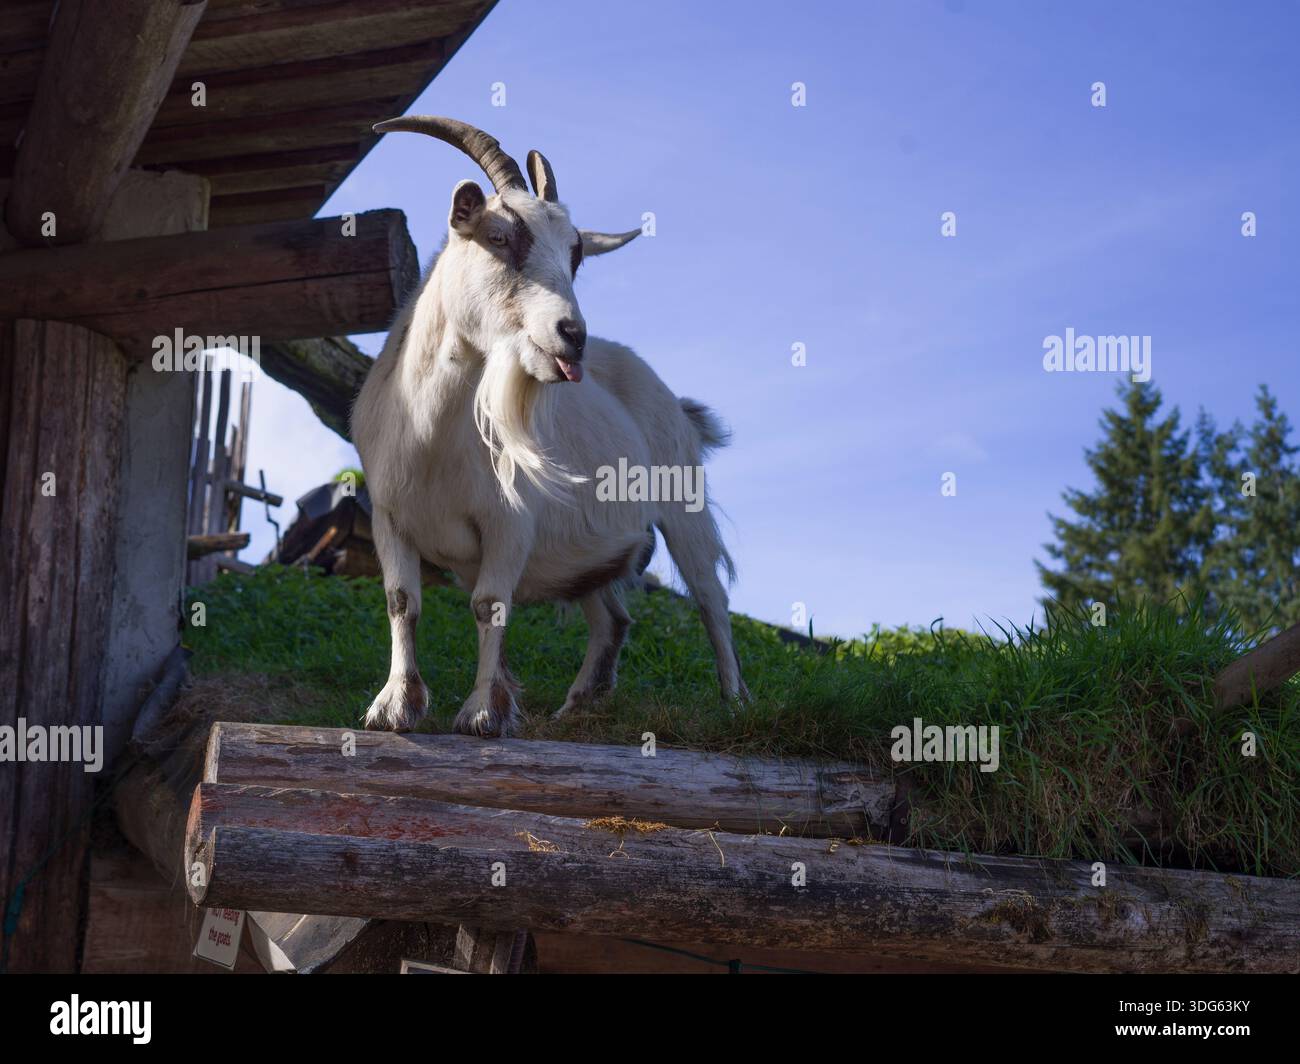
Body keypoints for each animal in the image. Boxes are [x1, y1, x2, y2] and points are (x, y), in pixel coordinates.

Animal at [352, 116, 747, 737]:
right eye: (499, 237)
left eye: (576, 255)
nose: (572, 335)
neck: (432, 442)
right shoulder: (389, 516)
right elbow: (401, 601)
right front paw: (395, 706)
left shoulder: (510, 522)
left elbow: (488, 604)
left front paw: (483, 712)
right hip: (590, 553)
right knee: (611, 615)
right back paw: (579, 703)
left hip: (684, 503)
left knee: (710, 596)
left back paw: (733, 701)